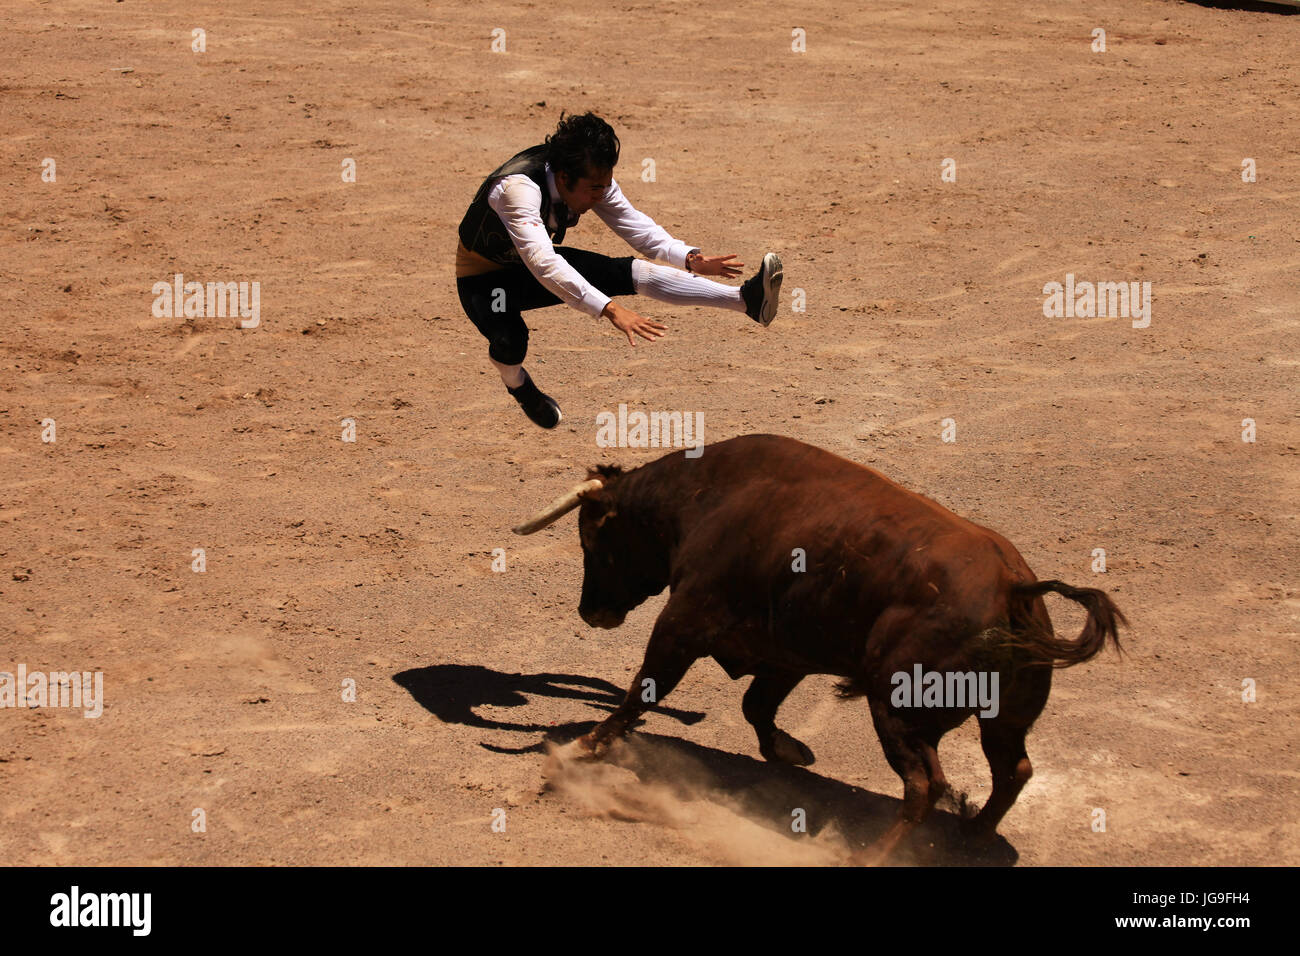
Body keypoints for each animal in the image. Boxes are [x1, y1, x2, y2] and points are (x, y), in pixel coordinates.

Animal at [513, 433, 1125, 863]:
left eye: (593, 539)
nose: (590, 612)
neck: (701, 497)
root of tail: (1014, 586)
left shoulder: (684, 621)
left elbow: (646, 689)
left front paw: (583, 748)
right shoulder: (784, 650)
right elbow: (756, 705)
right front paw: (789, 751)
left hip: (898, 709)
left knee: (925, 784)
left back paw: (871, 856)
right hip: (1004, 717)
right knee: (1013, 769)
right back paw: (972, 832)